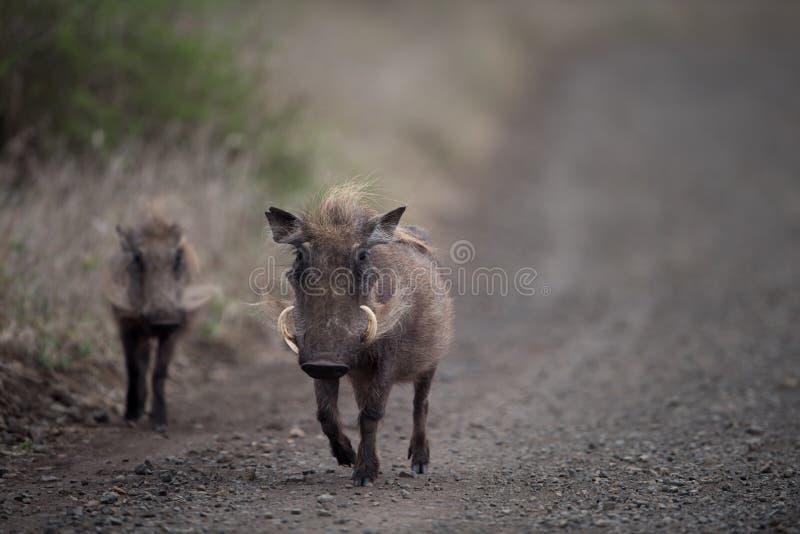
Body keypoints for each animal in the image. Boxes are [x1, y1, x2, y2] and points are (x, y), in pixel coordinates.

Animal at [103, 210, 214, 432]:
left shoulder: (173, 332)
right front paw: (130, 416)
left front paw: (160, 422)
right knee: (142, 364)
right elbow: (133, 369)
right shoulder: (127, 325)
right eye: (137, 257)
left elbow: (159, 372)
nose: (164, 318)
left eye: (178, 257)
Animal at [266, 186, 453, 485]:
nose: (325, 361)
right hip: (358, 375)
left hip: (429, 363)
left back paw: (420, 463)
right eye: (299, 256)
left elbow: (371, 414)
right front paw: (347, 457)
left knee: (420, 404)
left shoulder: (388, 360)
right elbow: (326, 414)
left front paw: (364, 474)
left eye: (363, 255)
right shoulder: (320, 362)